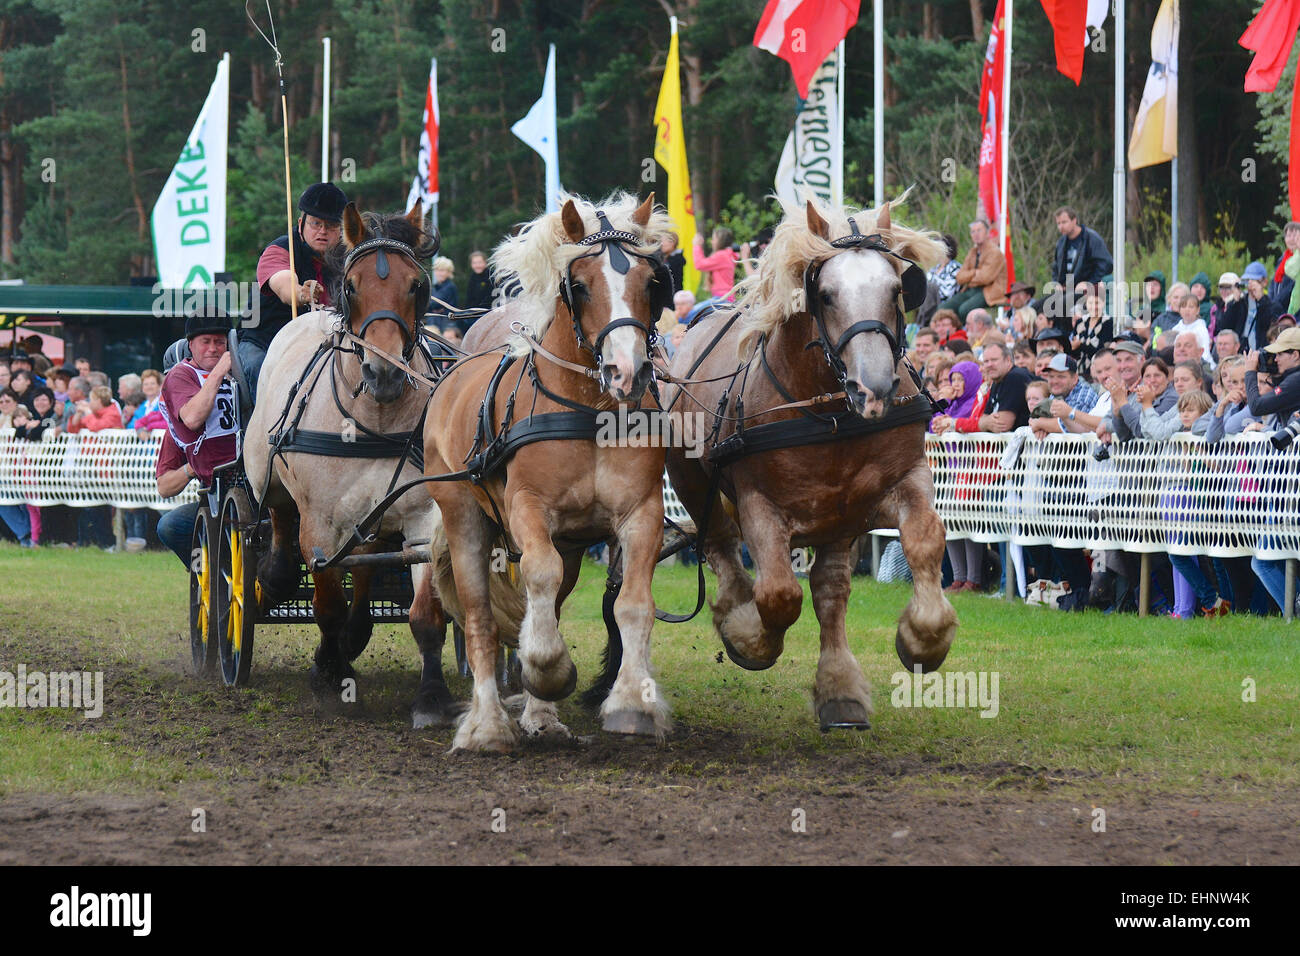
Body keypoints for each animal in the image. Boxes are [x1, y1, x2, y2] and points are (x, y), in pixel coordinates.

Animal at [243, 203, 461, 727]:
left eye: (416, 285)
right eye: (352, 286)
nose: (382, 374)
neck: (374, 421)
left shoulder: (422, 517)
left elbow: (426, 614)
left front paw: (432, 697)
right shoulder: (320, 526)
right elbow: (326, 605)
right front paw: (330, 672)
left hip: (373, 515)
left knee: (365, 565)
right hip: (267, 472)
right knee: (277, 515)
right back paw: (276, 578)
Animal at [423, 191, 675, 753]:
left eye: (651, 283)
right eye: (578, 285)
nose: (628, 373)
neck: (588, 412)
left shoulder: (641, 514)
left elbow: (633, 604)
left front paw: (632, 701)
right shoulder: (527, 510)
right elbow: (537, 576)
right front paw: (548, 671)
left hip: (573, 543)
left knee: (549, 604)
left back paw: (541, 716)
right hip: (464, 517)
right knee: (481, 619)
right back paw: (488, 724)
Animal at [624, 195, 958, 731]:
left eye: (895, 290)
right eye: (825, 294)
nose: (874, 388)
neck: (827, 409)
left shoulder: (903, 481)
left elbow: (924, 541)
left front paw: (923, 638)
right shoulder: (759, 503)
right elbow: (779, 594)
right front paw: (749, 637)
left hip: (839, 519)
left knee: (830, 589)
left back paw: (840, 688)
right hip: (695, 483)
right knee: (720, 545)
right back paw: (735, 613)